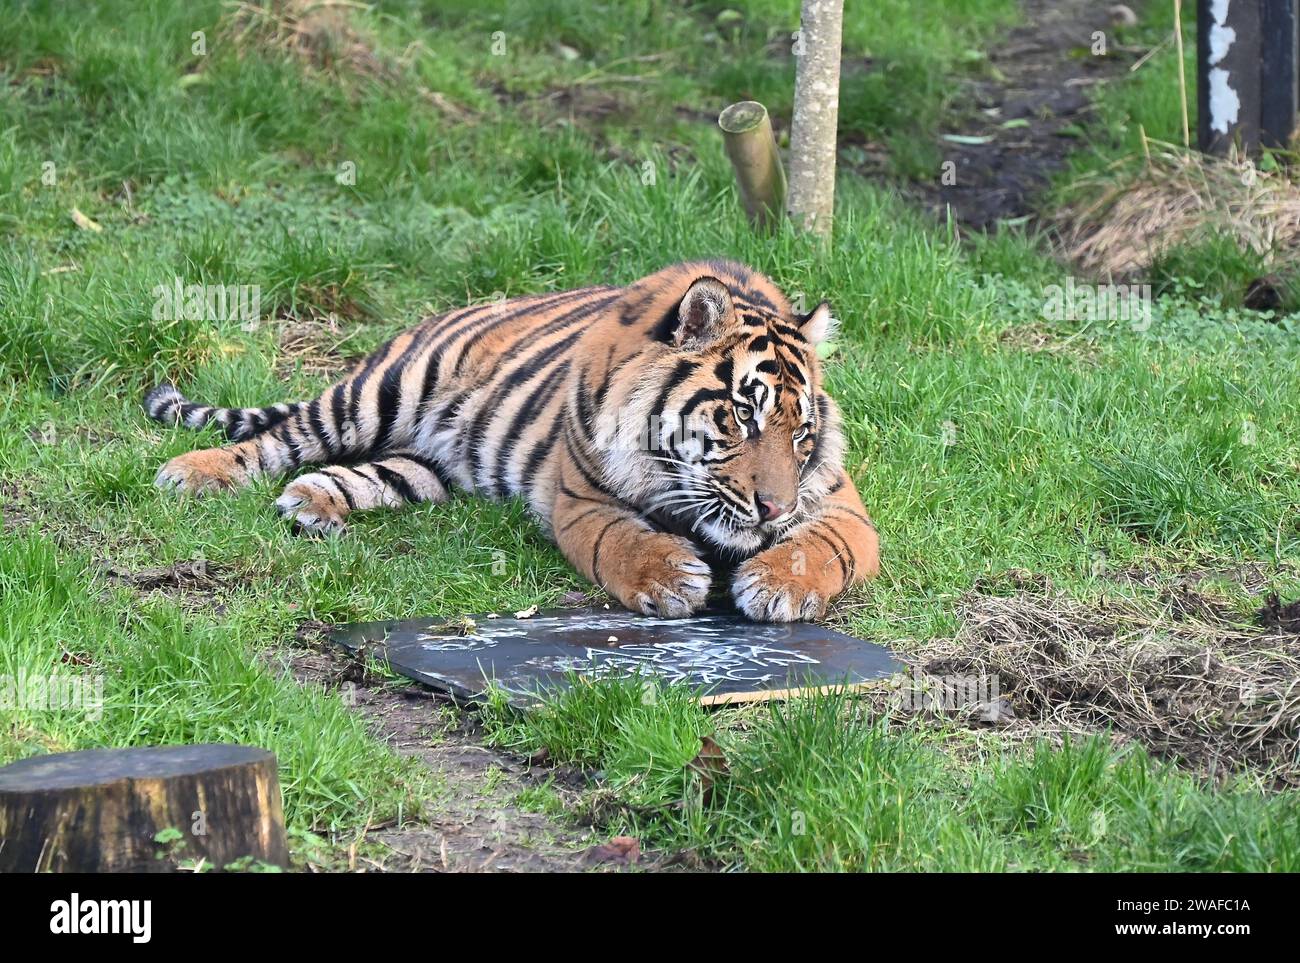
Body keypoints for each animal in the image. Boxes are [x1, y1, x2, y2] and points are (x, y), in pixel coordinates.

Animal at [145, 260, 880, 622]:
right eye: (741, 416)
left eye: (802, 433)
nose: (774, 510)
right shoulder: (582, 501)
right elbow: (623, 543)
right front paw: (670, 578)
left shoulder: (842, 505)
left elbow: (826, 547)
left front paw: (779, 586)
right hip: (378, 393)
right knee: (283, 436)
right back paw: (195, 470)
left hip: (427, 464)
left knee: (357, 473)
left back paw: (311, 506)